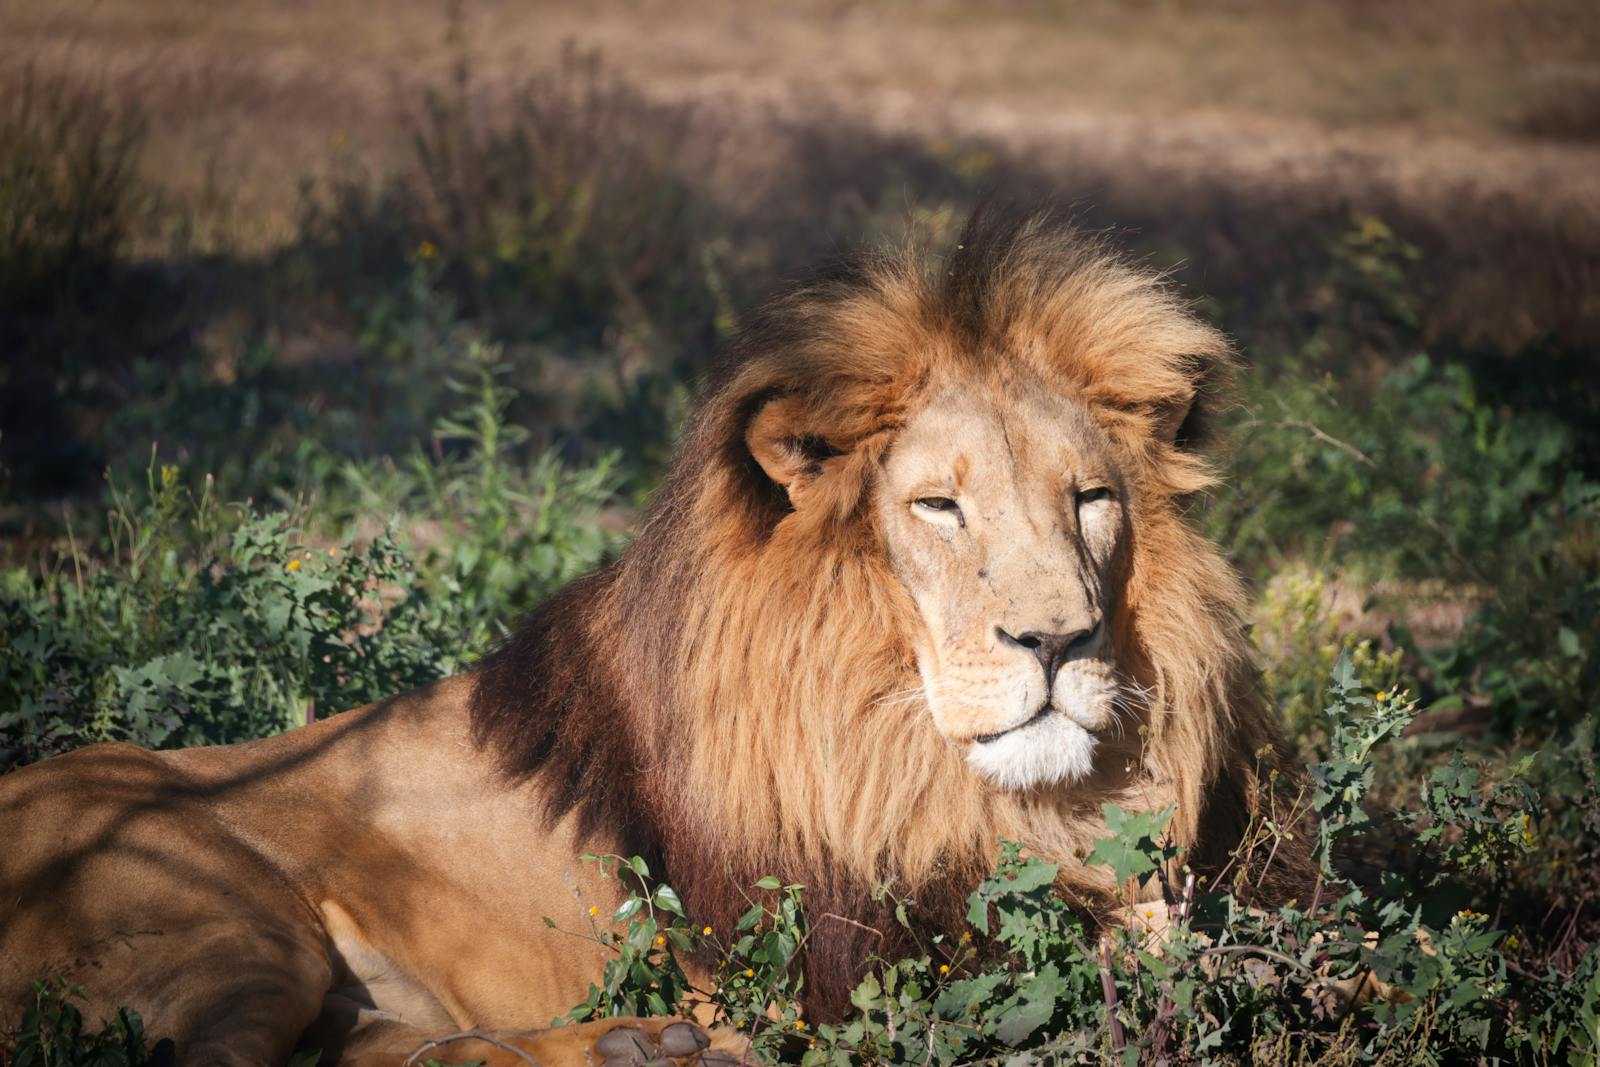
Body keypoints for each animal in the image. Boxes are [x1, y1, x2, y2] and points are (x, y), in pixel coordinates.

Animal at [0, 207, 1308, 1065]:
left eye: (1089, 500)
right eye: (938, 505)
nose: (1057, 639)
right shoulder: (853, 951)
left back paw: (643, 1043)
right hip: (224, 918)